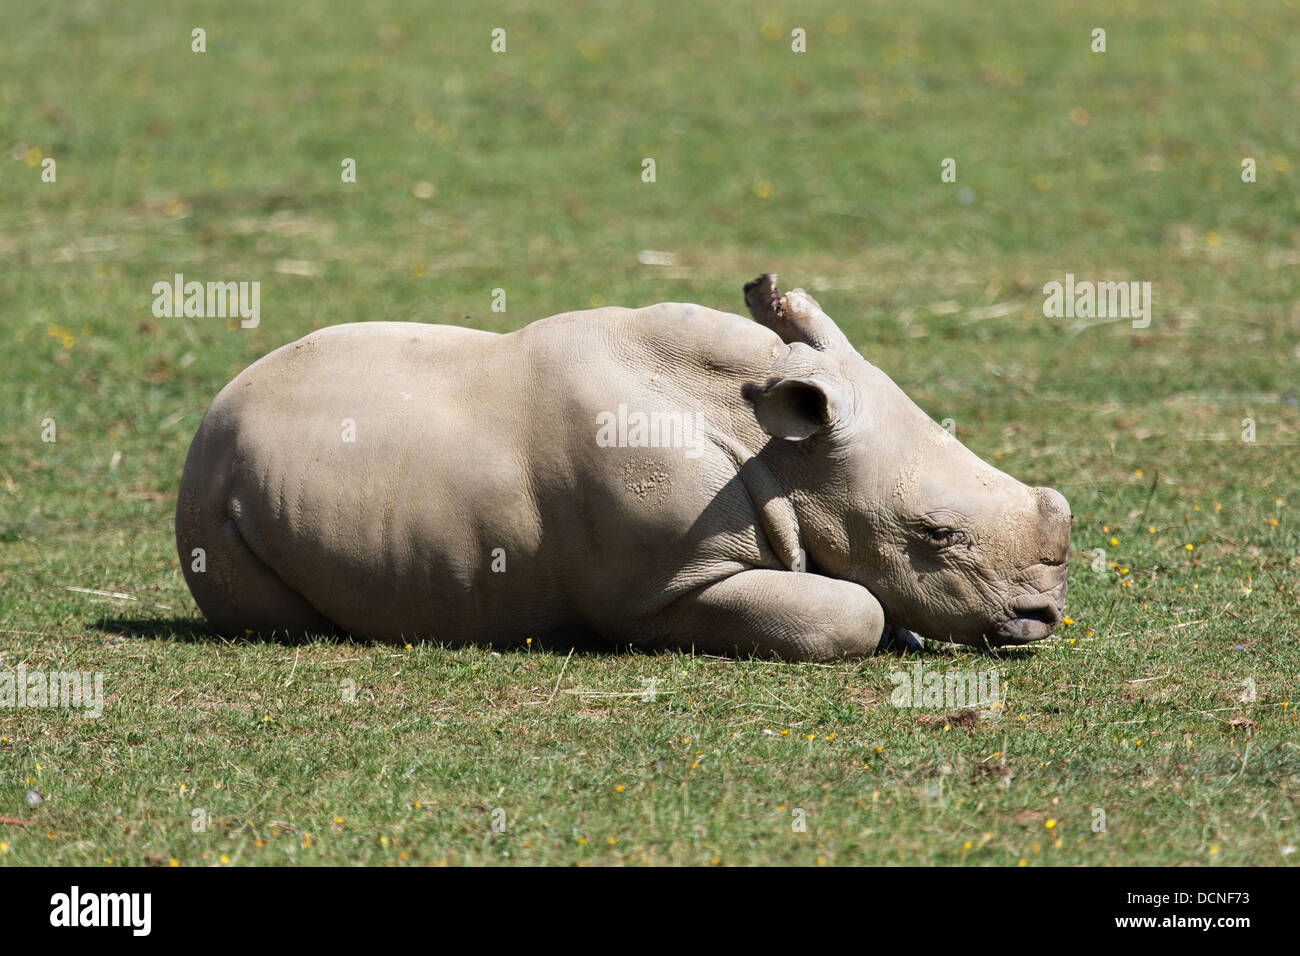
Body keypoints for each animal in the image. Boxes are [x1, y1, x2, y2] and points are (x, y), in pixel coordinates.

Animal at [175, 275, 1070, 660]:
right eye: (937, 534)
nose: (1044, 618)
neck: (778, 451)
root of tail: (211, 418)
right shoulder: (668, 585)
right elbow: (851, 612)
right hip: (213, 504)